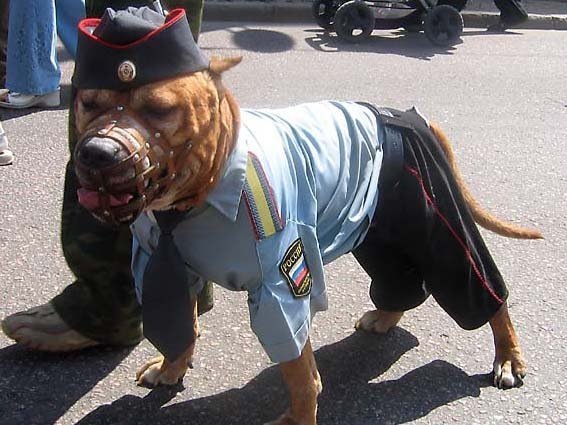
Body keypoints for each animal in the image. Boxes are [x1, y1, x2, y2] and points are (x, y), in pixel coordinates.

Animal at [72, 8, 541, 425]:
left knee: (484, 289)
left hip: (435, 223)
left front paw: (298, 417)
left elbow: (300, 374)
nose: (96, 152)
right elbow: (181, 323)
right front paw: (172, 367)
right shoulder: (163, 266)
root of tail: (405, 114)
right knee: (401, 278)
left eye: (160, 109)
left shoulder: (282, 284)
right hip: (374, 232)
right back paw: (386, 317)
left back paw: (507, 356)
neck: (203, 191)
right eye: (89, 103)